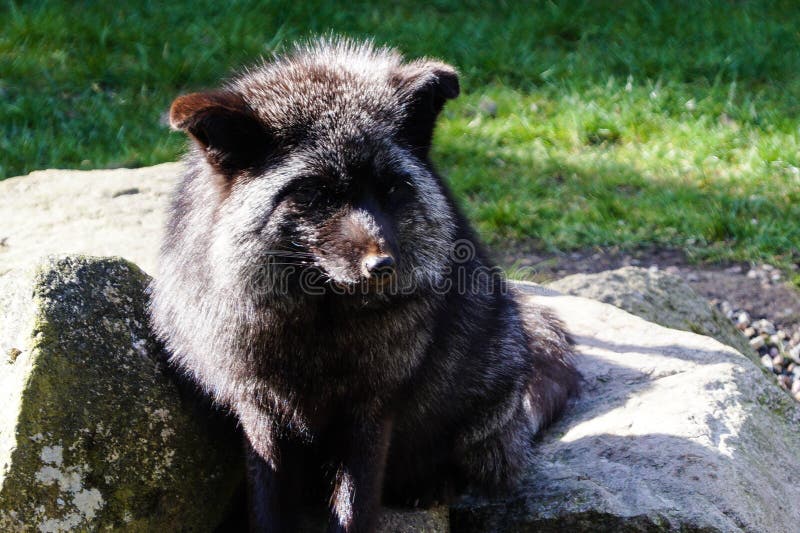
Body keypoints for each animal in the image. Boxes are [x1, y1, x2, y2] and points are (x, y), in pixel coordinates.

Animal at [148, 38, 579, 533]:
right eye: (314, 193)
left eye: (390, 188)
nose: (383, 265)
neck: (321, 329)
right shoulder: (258, 407)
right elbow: (268, 498)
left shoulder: (372, 407)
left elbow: (356, 500)